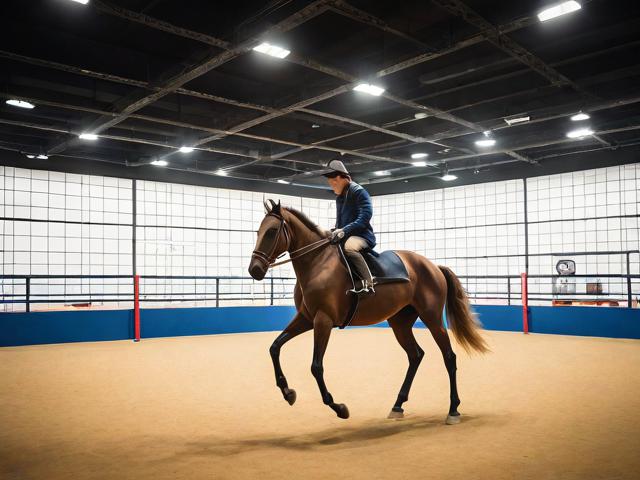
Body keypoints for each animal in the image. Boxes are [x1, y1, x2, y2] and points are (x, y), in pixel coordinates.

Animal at [248, 200, 488, 423]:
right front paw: (288, 392)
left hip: (433, 319)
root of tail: (433, 266)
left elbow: (316, 367)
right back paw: (398, 405)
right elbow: (275, 347)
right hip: (400, 323)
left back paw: (453, 410)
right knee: (415, 355)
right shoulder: (306, 318)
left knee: (449, 357)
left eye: (271, 231)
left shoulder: (323, 321)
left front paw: (339, 407)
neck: (318, 263)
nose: (255, 270)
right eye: (258, 231)